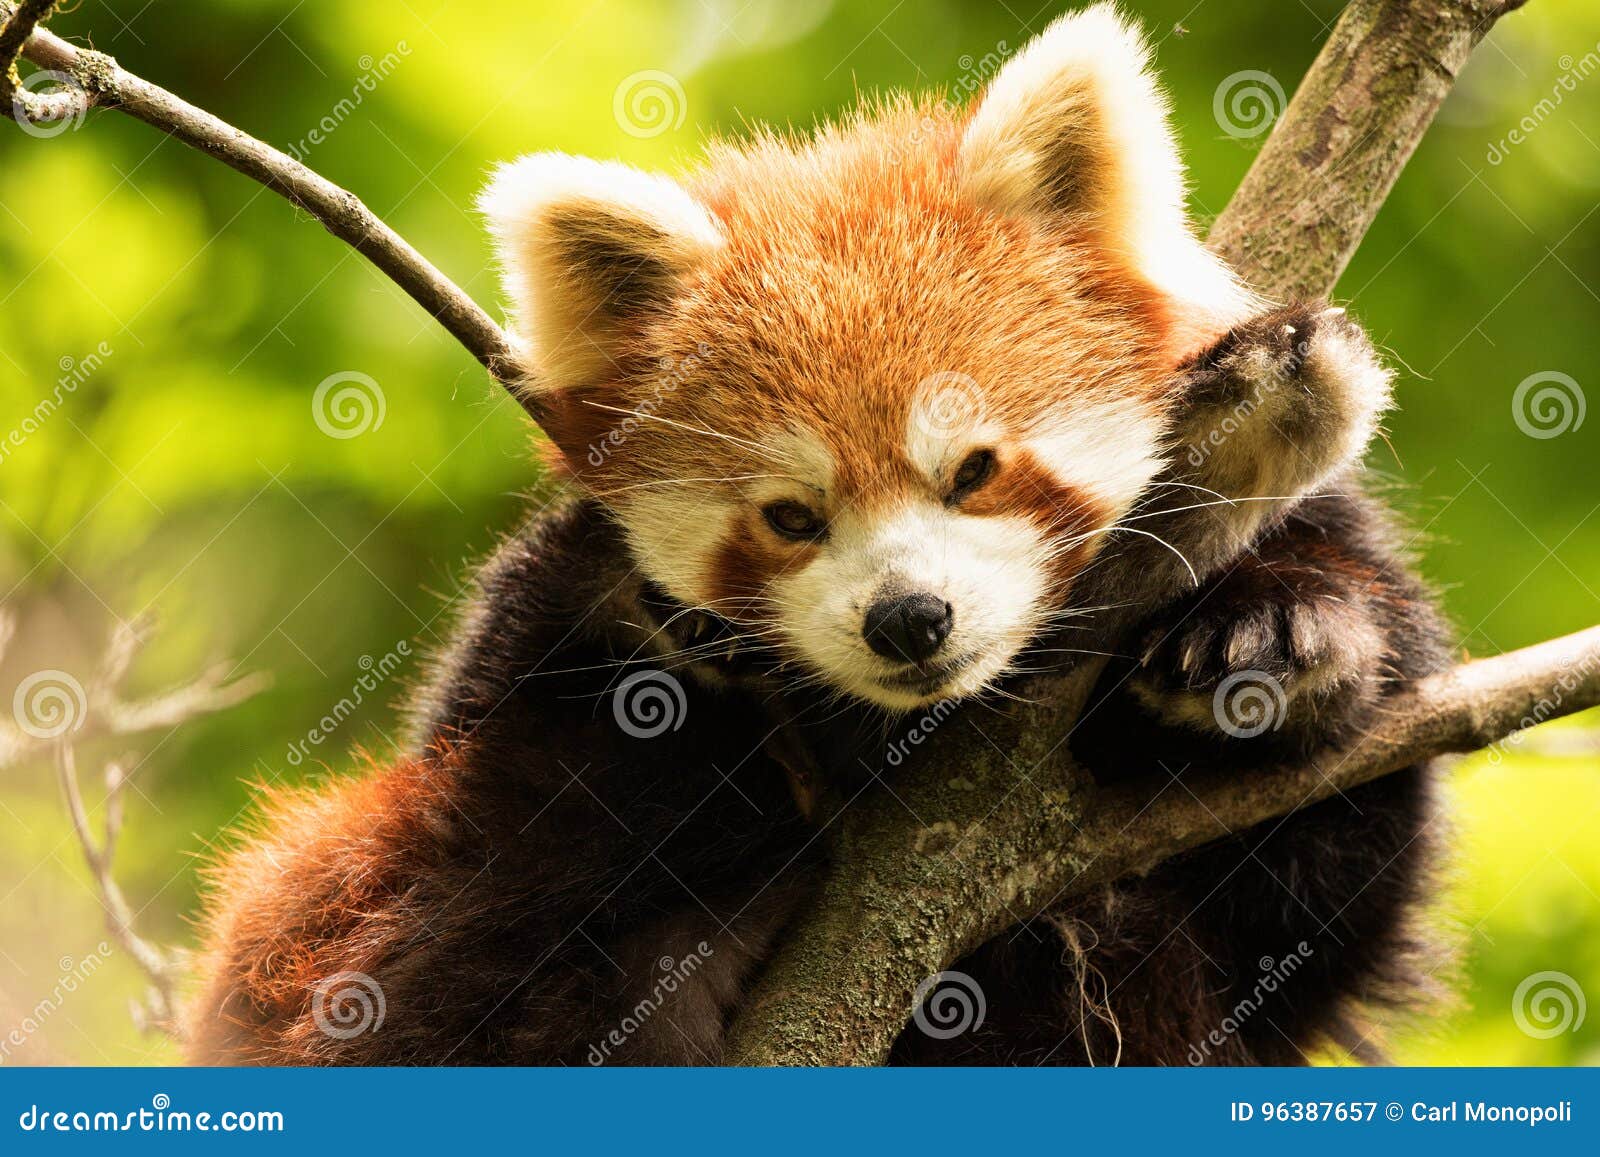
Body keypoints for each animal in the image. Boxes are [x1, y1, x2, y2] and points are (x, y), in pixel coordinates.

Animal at [184, 3, 1449, 1065]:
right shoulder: (512, 703)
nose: (908, 620)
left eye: (973, 471)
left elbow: (1319, 902)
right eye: (792, 517)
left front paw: (1270, 640)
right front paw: (678, 668)